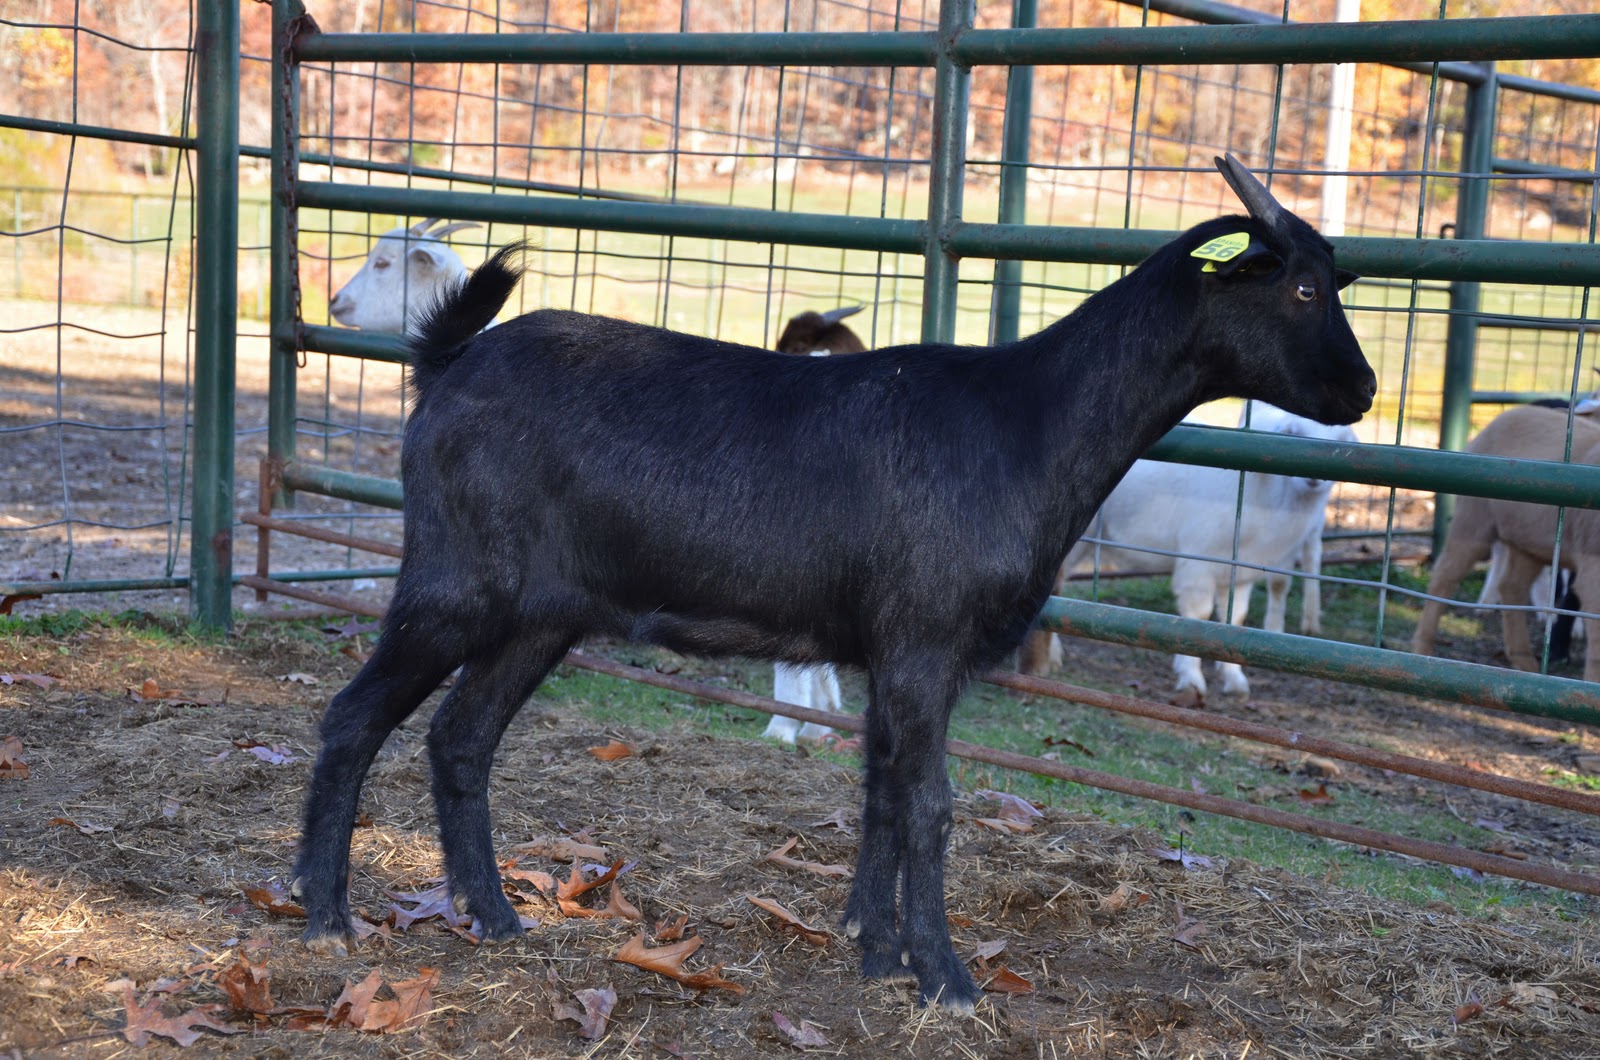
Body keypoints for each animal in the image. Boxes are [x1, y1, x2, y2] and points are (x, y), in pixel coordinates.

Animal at [1019, 401, 1355, 698]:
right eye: (1293, 433)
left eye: (1341, 441)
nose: (1314, 478)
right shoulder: (1198, 560)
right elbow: (1196, 619)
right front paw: (1191, 678)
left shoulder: (1240, 570)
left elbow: (1236, 620)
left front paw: (1234, 679)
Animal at [1414, 403, 1600, 676]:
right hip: (1474, 517)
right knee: (1444, 575)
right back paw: (1422, 649)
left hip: (1529, 540)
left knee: (1512, 586)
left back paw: (1525, 664)